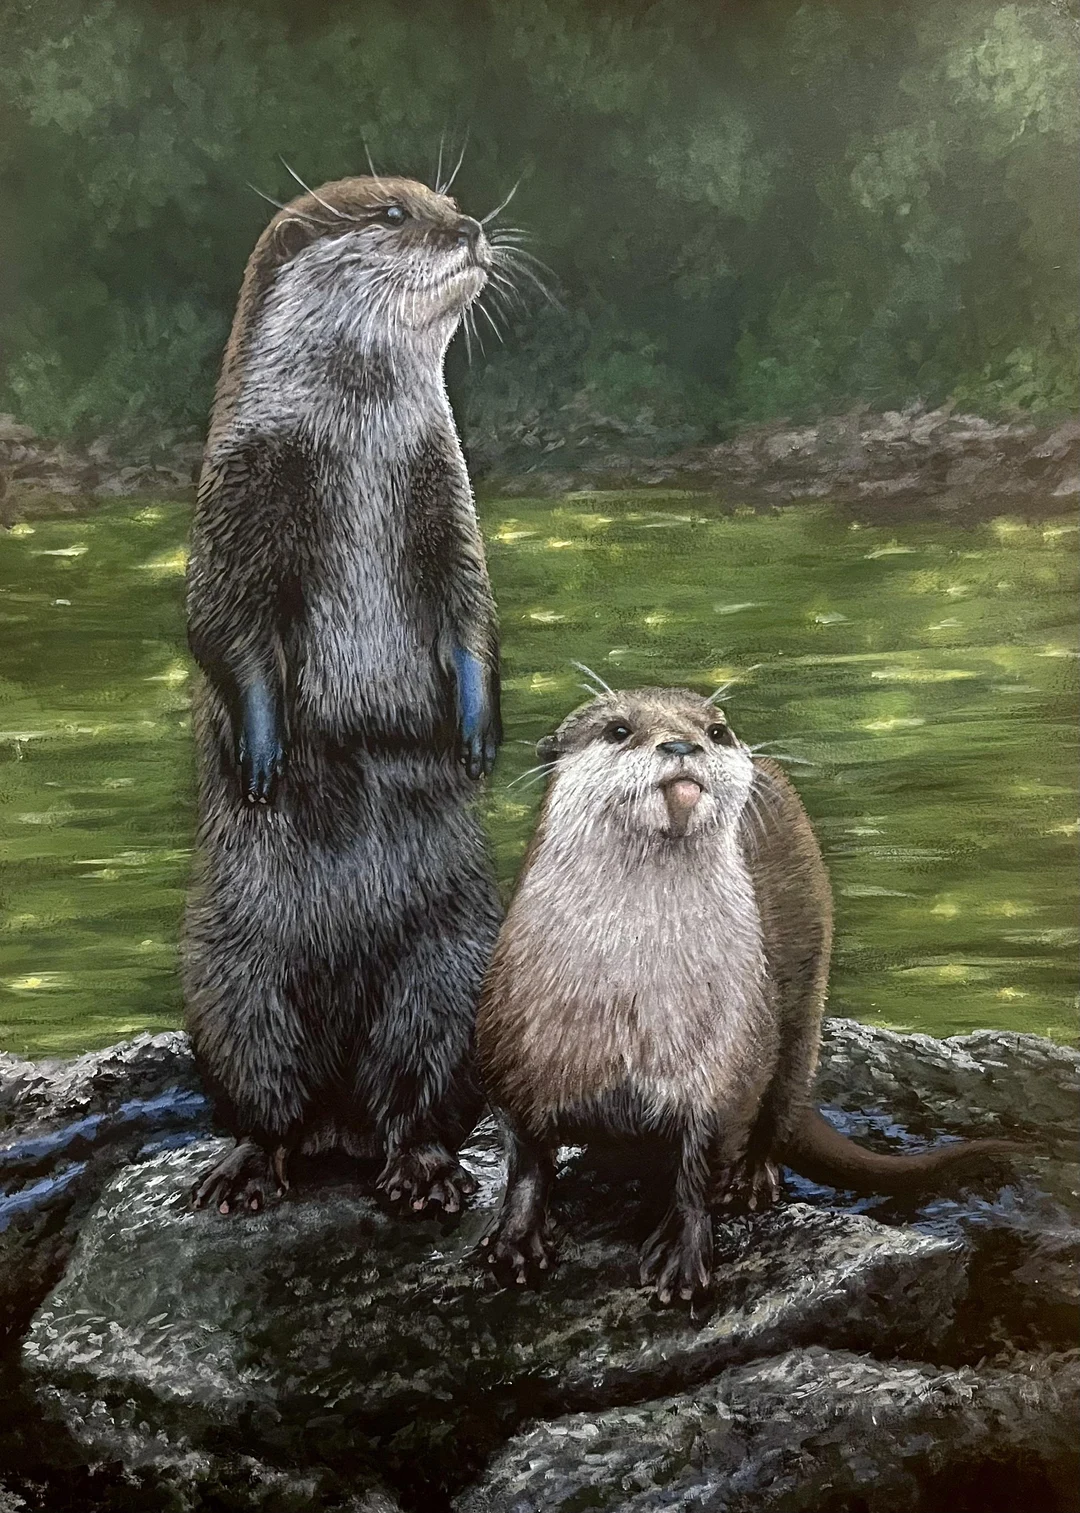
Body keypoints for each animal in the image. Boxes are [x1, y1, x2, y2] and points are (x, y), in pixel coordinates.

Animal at [183, 174, 505, 1216]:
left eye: (445, 197)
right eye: (397, 213)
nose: (470, 228)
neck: (356, 442)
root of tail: (341, 1122)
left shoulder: (447, 495)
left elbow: (472, 613)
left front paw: (479, 735)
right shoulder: (236, 495)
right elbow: (219, 626)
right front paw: (263, 753)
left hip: (456, 961)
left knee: (419, 1081)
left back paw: (422, 1169)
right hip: (227, 970)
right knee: (262, 1088)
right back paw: (250, 1164)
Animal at [477, 687, 1021, 1302]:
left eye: (716, 731)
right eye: (618, 730)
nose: (682, 744)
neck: (633, 1008)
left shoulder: (731, 1049)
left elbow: (705, 1156)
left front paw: (683, 1249)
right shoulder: (507, 1037)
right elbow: (524, 1154)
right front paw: (516, 1238)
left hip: (801, 1013)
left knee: (781, 1100)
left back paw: (756, 1178)